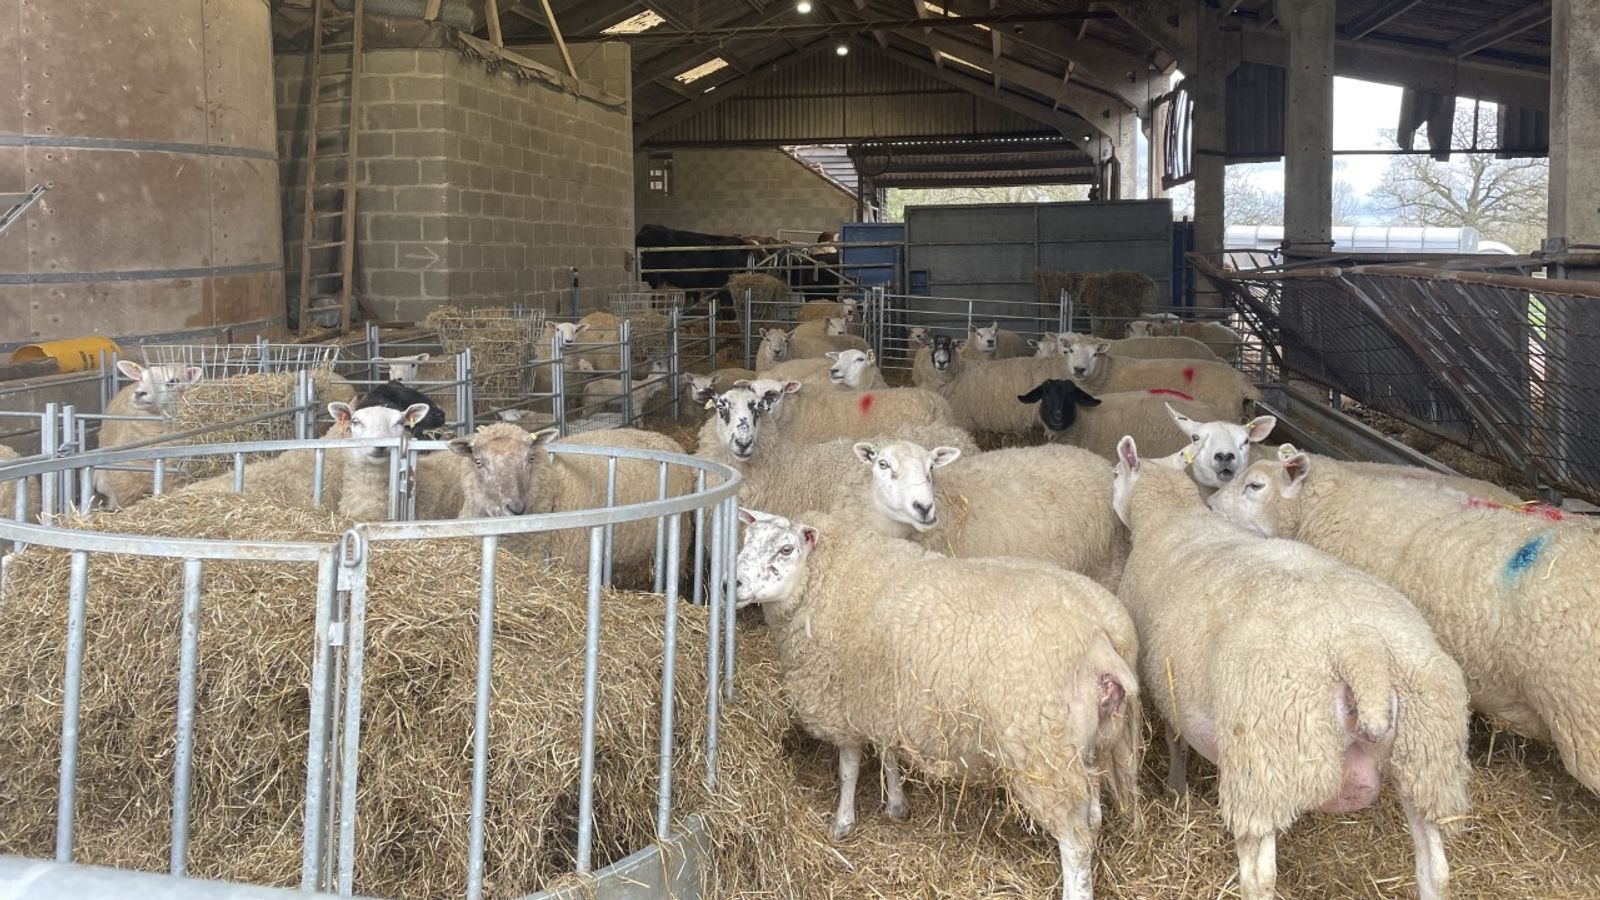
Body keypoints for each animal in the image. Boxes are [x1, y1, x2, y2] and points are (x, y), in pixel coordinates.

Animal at [734, 507, 1141, 900]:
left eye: (786, 549)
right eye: (746, 540)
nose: (732, 583)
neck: (831, 578)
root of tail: (1101, 637)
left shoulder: (844, 702)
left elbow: (848, 769)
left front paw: (843, 822)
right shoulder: (885, 698)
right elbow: (889, 753)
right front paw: (896, 805)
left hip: (1044, 755)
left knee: (1075, 841)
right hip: (1089, 746)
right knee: (1092, 817)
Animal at [1113, 437, 1471, 900]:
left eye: (1115, 474)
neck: (1170, 515)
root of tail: (1361, 650)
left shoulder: (1164, 684)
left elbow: (1177, 743)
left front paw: (1176, 789)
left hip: (1263, 760)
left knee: (1259, 876)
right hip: (1426, 756)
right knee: (1435, 867)